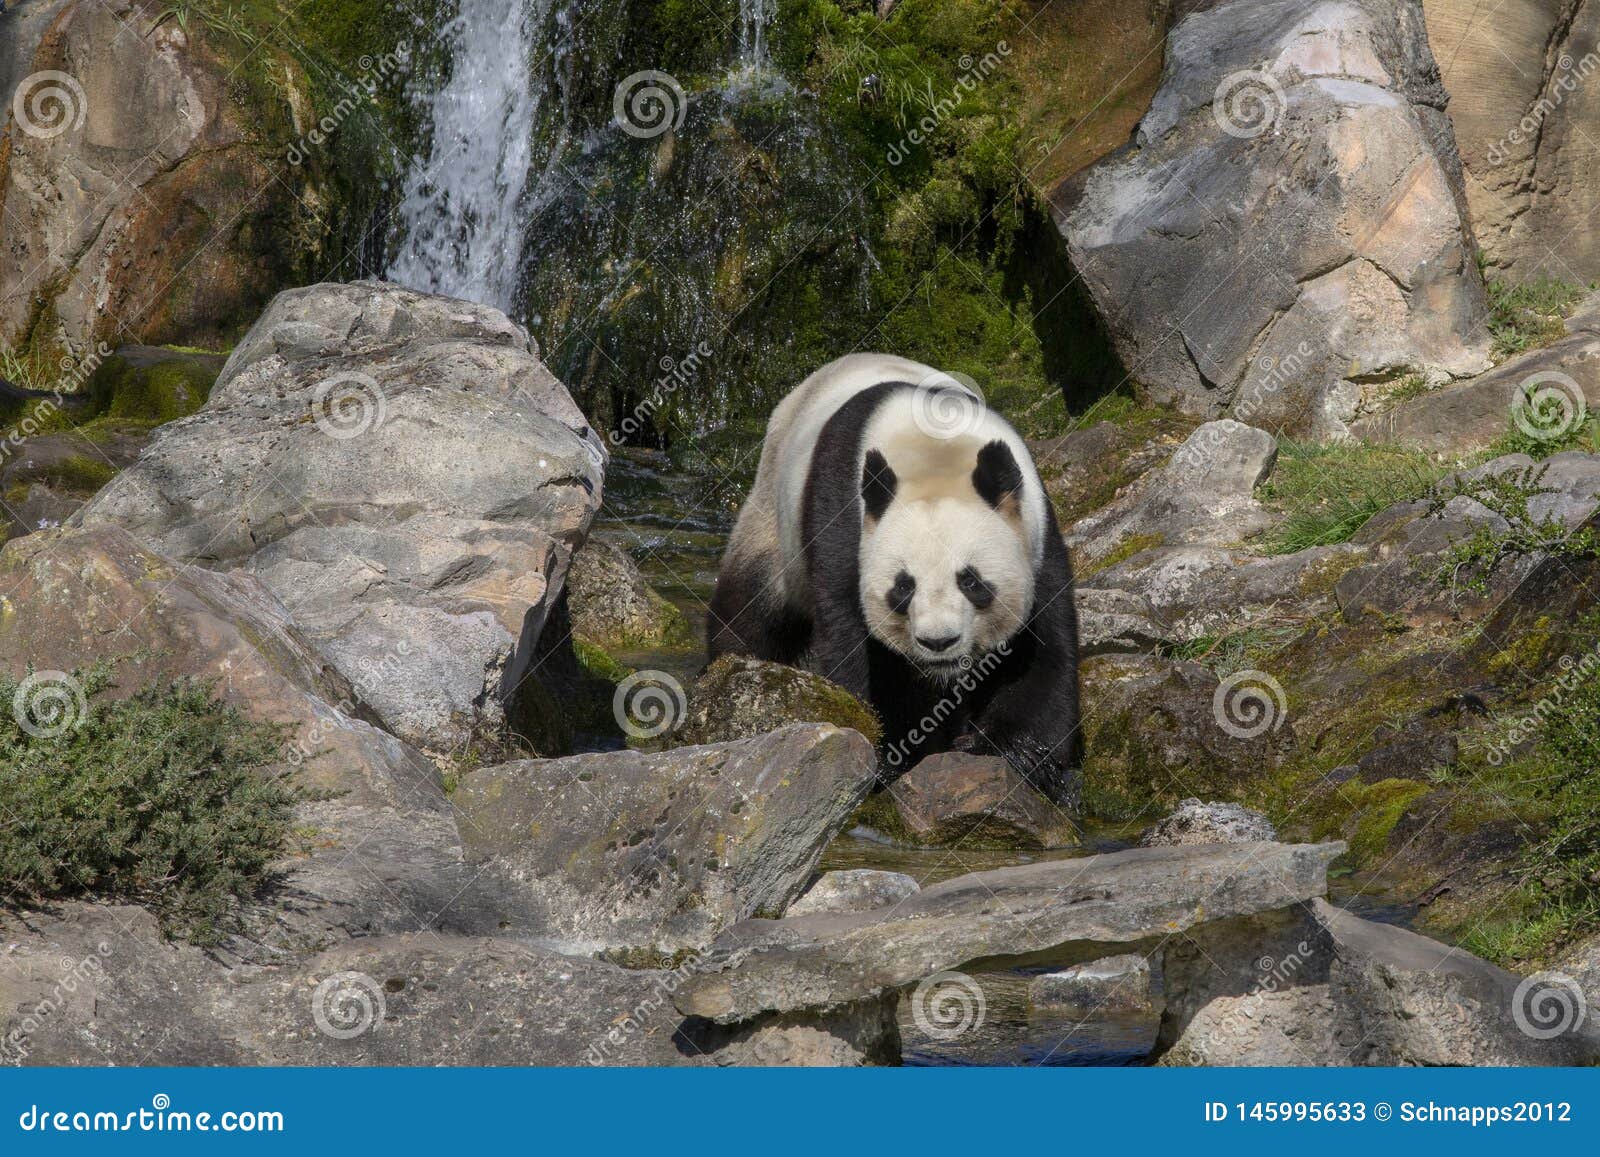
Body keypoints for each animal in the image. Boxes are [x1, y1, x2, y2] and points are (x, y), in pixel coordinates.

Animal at [707, 353, 1082, 806]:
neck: (936, 450)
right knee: (752, 609)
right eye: (904, 586)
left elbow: (1042, 650)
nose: (938, 642)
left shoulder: (1035, 533)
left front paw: (1019, 756)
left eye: (971, 582)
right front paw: (892, 754)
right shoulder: (846, 518)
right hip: (774, 521)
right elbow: (858, 644)